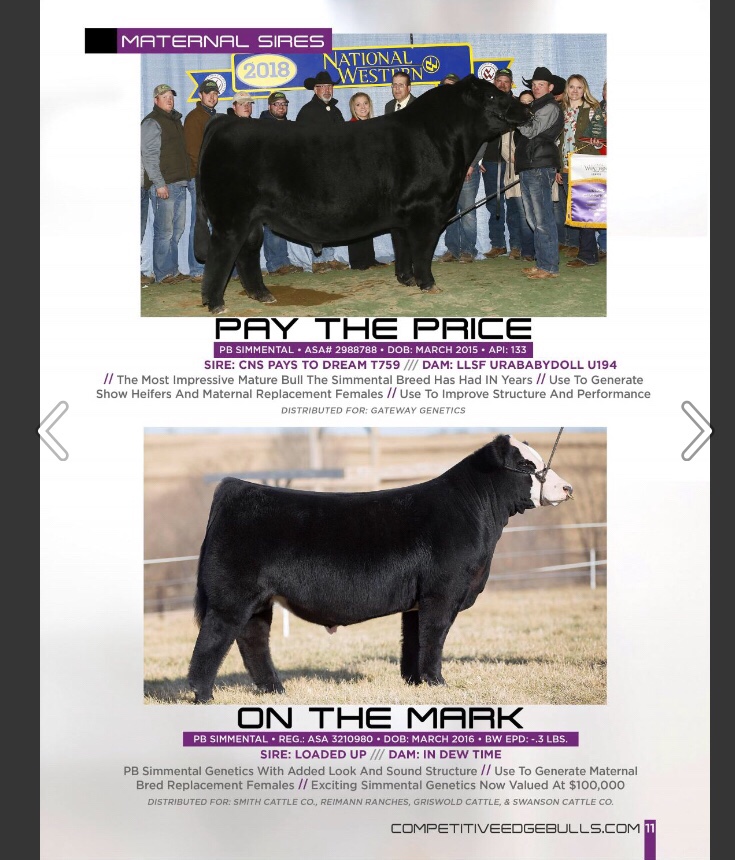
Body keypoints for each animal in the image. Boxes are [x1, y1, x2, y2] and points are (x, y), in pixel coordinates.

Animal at [187, 434, 573, 703]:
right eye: (525, 467)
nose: (567, 487)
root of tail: (235, 486)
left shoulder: (419, 600)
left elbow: (413, 640)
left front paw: (416, 683)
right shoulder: (442, 593)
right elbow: (434, 638)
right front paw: (437, 682)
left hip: (258, 601)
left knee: (253, 640)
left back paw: (274, 690)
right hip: (232, 597)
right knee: (213, 641)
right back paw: (202, 695)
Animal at [194, 75, 530, 314]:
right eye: (492, 95)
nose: (527, 109)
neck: (440, 137)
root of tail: (225, 121)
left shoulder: (402, 216)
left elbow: (402, 249)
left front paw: (406, 279)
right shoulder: (427, 210)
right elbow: (422, 251)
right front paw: (428, 284)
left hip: (252, 220)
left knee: (247, 254)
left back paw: (262, 295)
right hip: (230, 218)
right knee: (222, 255)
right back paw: (215, 302)